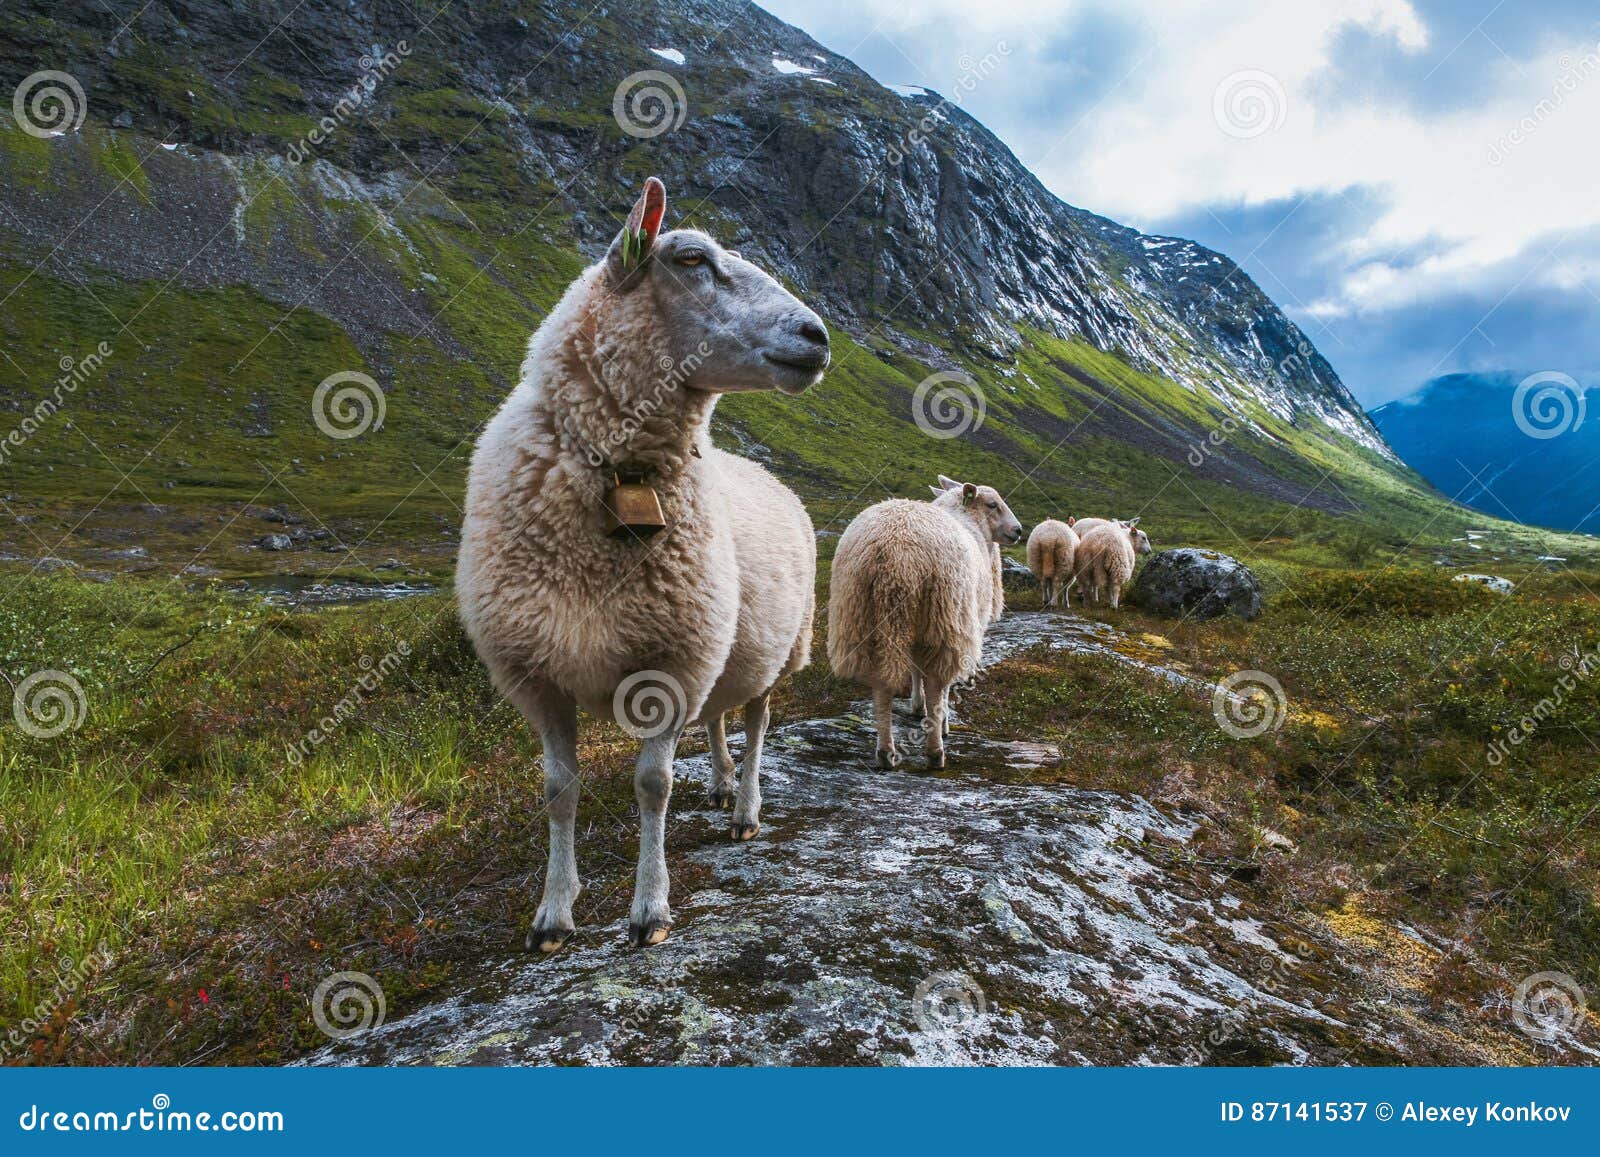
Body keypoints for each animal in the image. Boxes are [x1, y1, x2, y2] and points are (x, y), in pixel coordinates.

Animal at [457, 177, 829, 952]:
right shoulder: (536, 672)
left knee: (756, 723)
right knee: (720, 718)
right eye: (689, 258)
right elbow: (557, 790)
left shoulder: (672, 661)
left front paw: (649, 907)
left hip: (782, 647)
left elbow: (652, 785)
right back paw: (720, 782)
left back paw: (744, 806)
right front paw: (553, 912)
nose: (818, 336)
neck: (619, 472)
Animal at [828, 476, 1022, 769]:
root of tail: (894, 554)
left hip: (861, 616)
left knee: (881, 686)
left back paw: (885, 751)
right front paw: (940, 718)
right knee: (936, 683)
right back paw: (935, 750)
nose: (1019, 530)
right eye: (992, 504)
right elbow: (937, 683)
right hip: (944, 615)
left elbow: (915, 670)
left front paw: (917, 706)